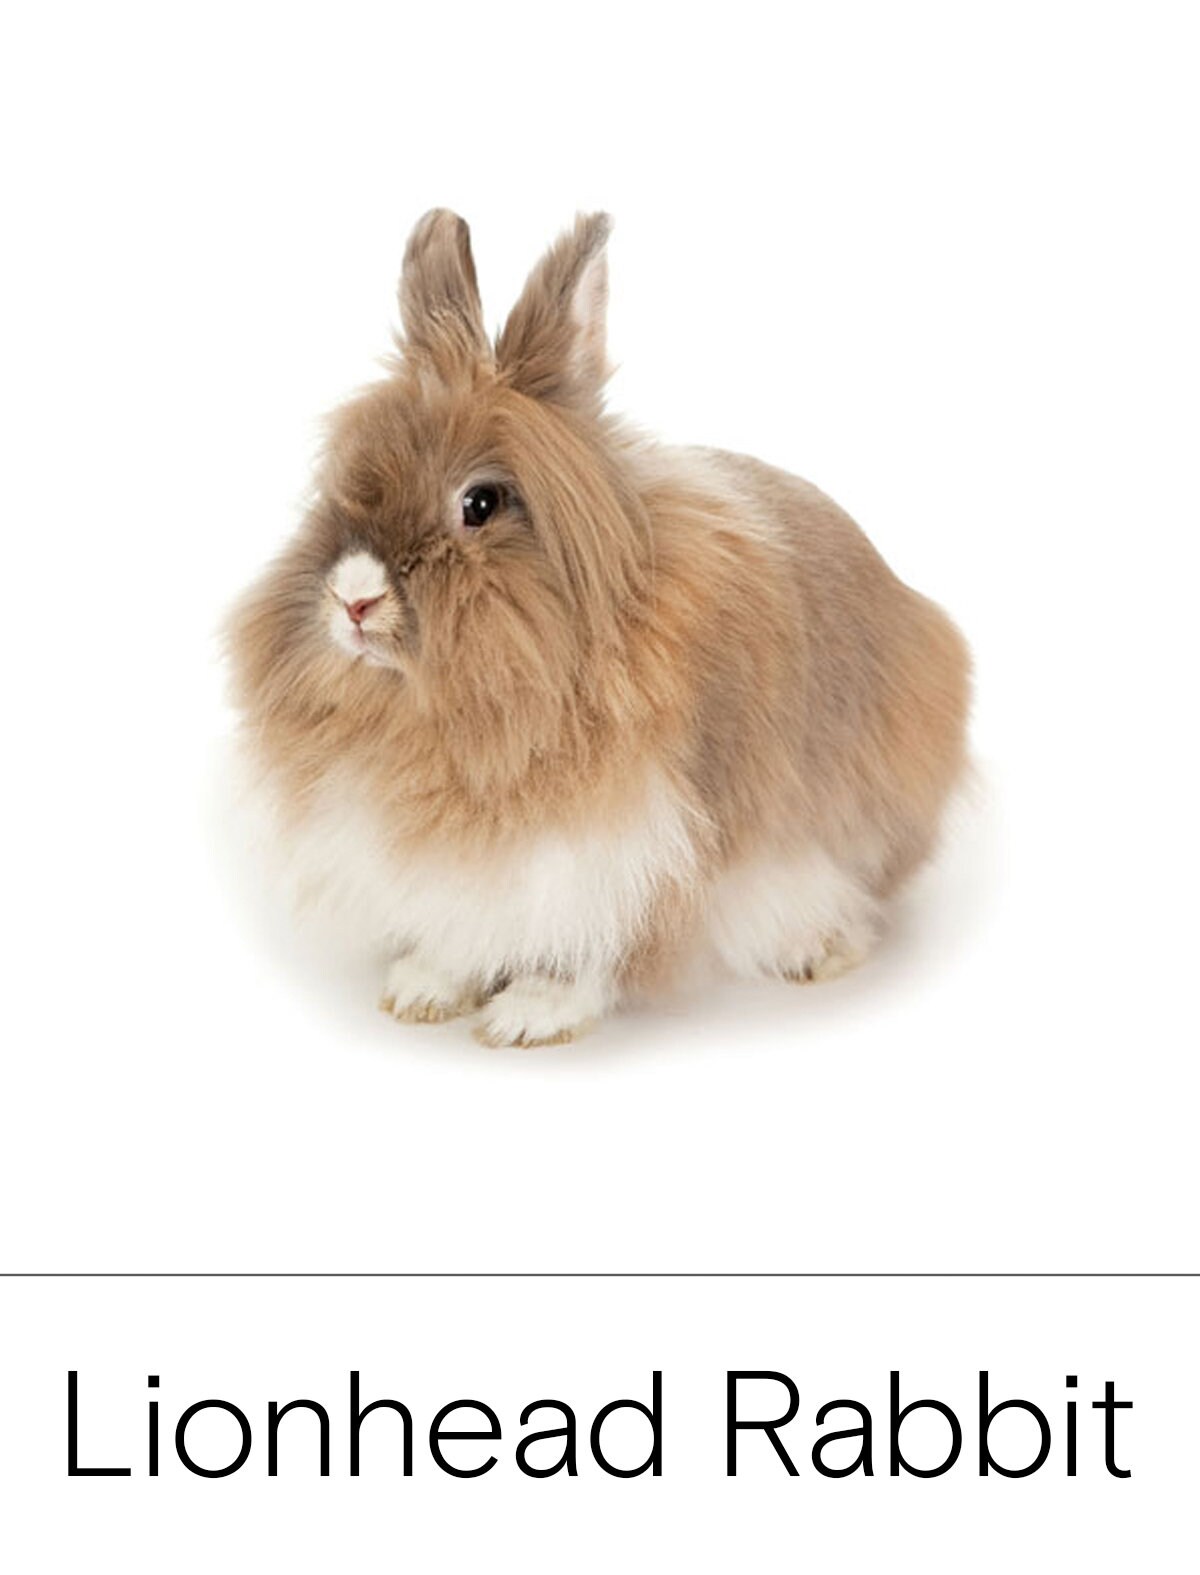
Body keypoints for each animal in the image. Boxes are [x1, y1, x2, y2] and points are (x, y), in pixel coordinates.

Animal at [226, 209, 971, 1047]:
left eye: (479, 503)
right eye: (338, 487)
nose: (353, 599)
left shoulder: (623, 848)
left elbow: (592, 944)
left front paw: (530, 1013)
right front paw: (424, 988)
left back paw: (818, 949)